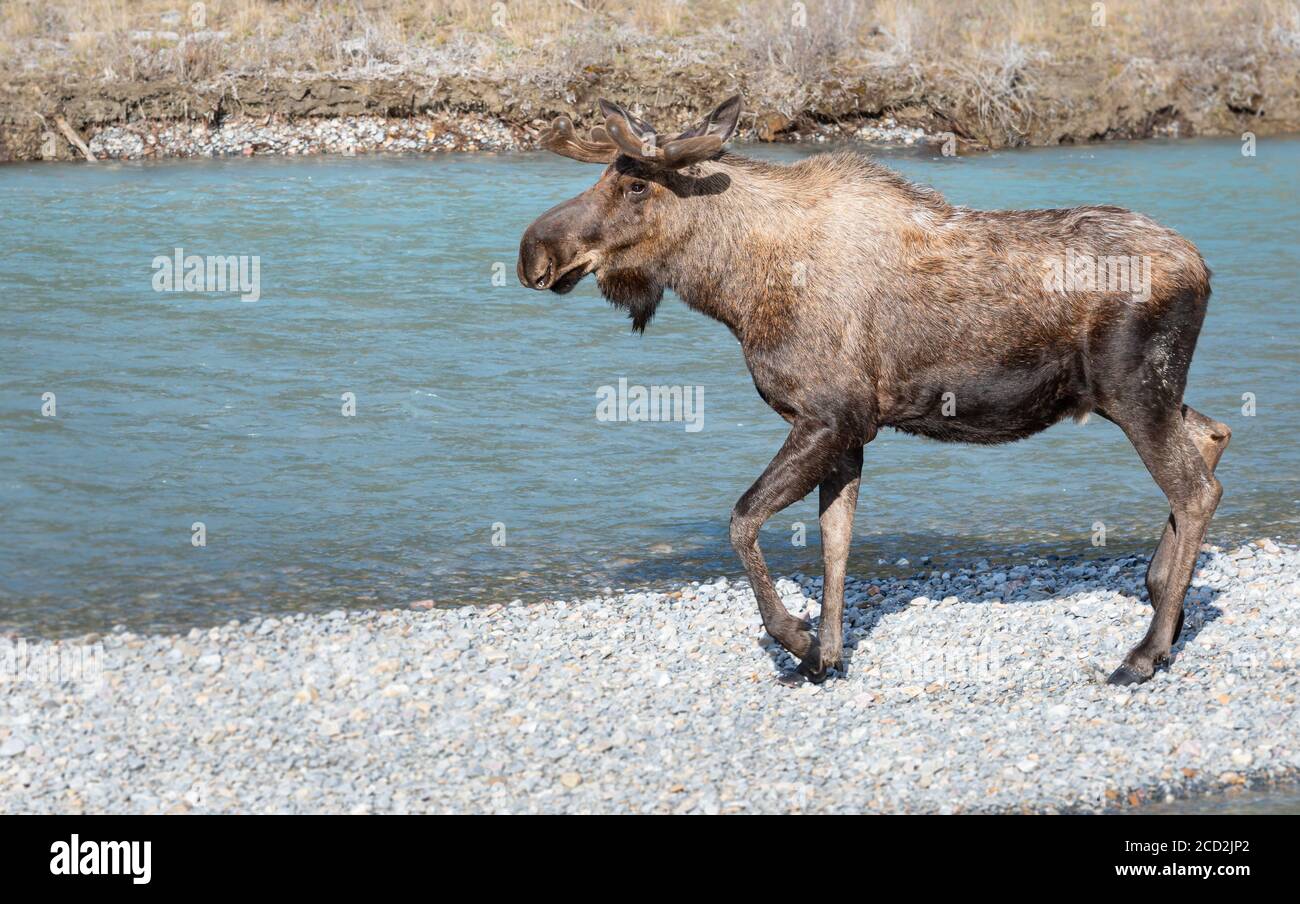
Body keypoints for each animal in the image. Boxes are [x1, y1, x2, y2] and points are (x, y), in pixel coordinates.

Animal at [517, 94, 1230, 687]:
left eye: (635, 183)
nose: (533, 252)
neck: (734, 288)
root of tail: (1203, 267)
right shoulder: (850, 431)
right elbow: (835, 544)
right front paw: (826, 656)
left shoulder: (829, 417)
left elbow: (744, 521)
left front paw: (797, 639)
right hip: (1143, 393)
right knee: (1212, 435)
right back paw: (1165, 600)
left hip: (1134, 391)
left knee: (1196, 488)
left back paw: (1143, 652)